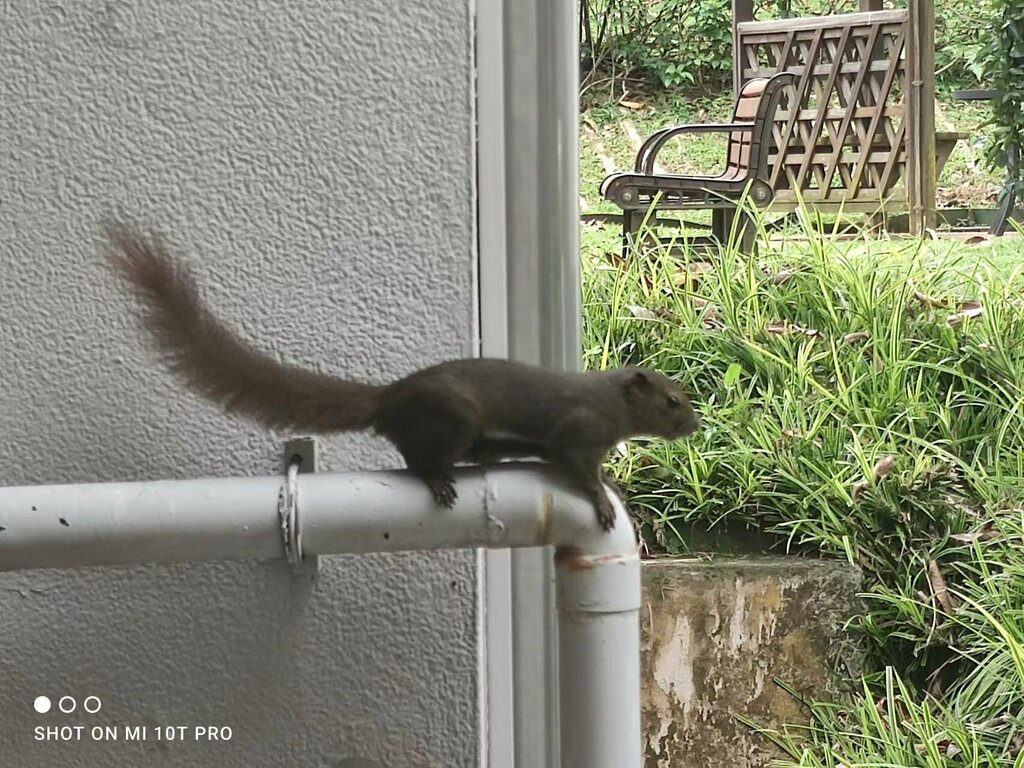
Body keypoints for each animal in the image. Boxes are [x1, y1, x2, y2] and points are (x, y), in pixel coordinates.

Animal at [105, 226, 700, 530]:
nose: (694, 426)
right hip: (455, 420)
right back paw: (436, 480)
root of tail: (390, 399)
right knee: (414, 458)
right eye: (672, 401)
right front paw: (601, 501)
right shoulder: (577, 432)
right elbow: (579, 468)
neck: (610, 403)